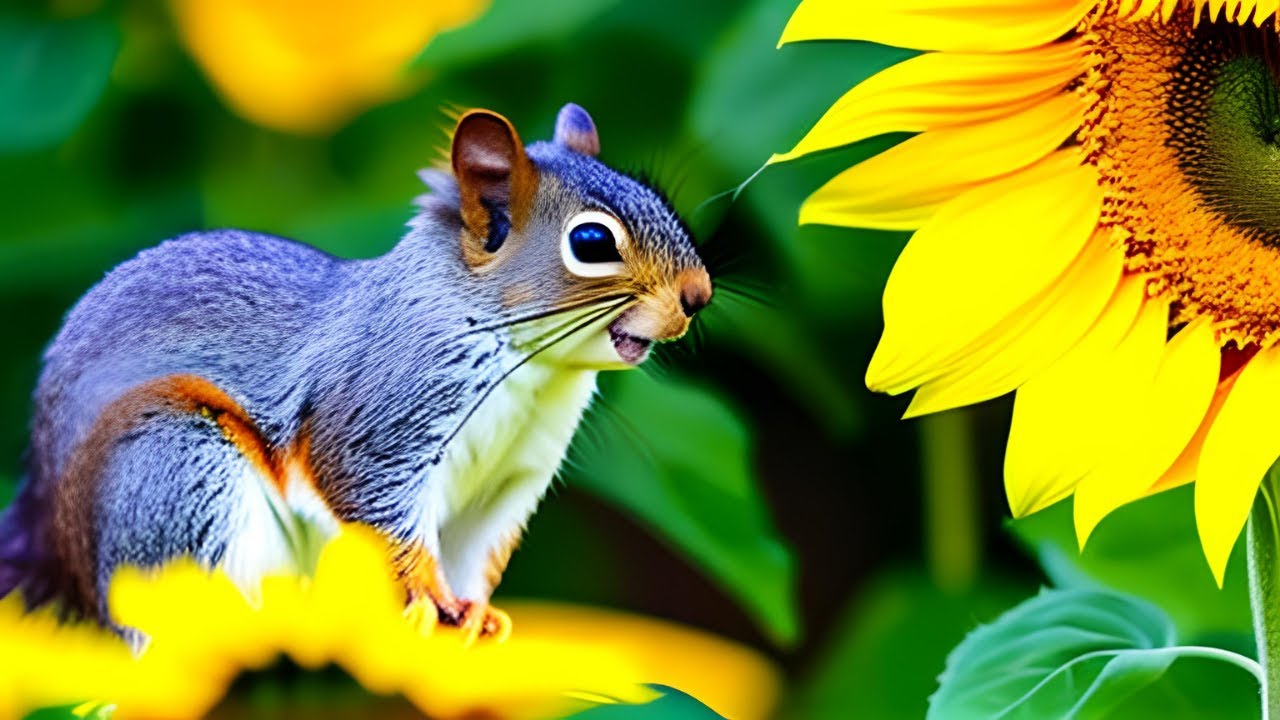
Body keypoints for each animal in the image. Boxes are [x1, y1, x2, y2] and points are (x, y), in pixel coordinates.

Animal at [0, 103, 712, 642]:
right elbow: (376, 505)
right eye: (591, 243)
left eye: (658, 199)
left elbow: (474, 551)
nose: (699, 295)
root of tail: (55, 542)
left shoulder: (512, 478)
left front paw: (474, 615)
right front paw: (429, 599)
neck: (532, 365)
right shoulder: (383, 416)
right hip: (179, 474)